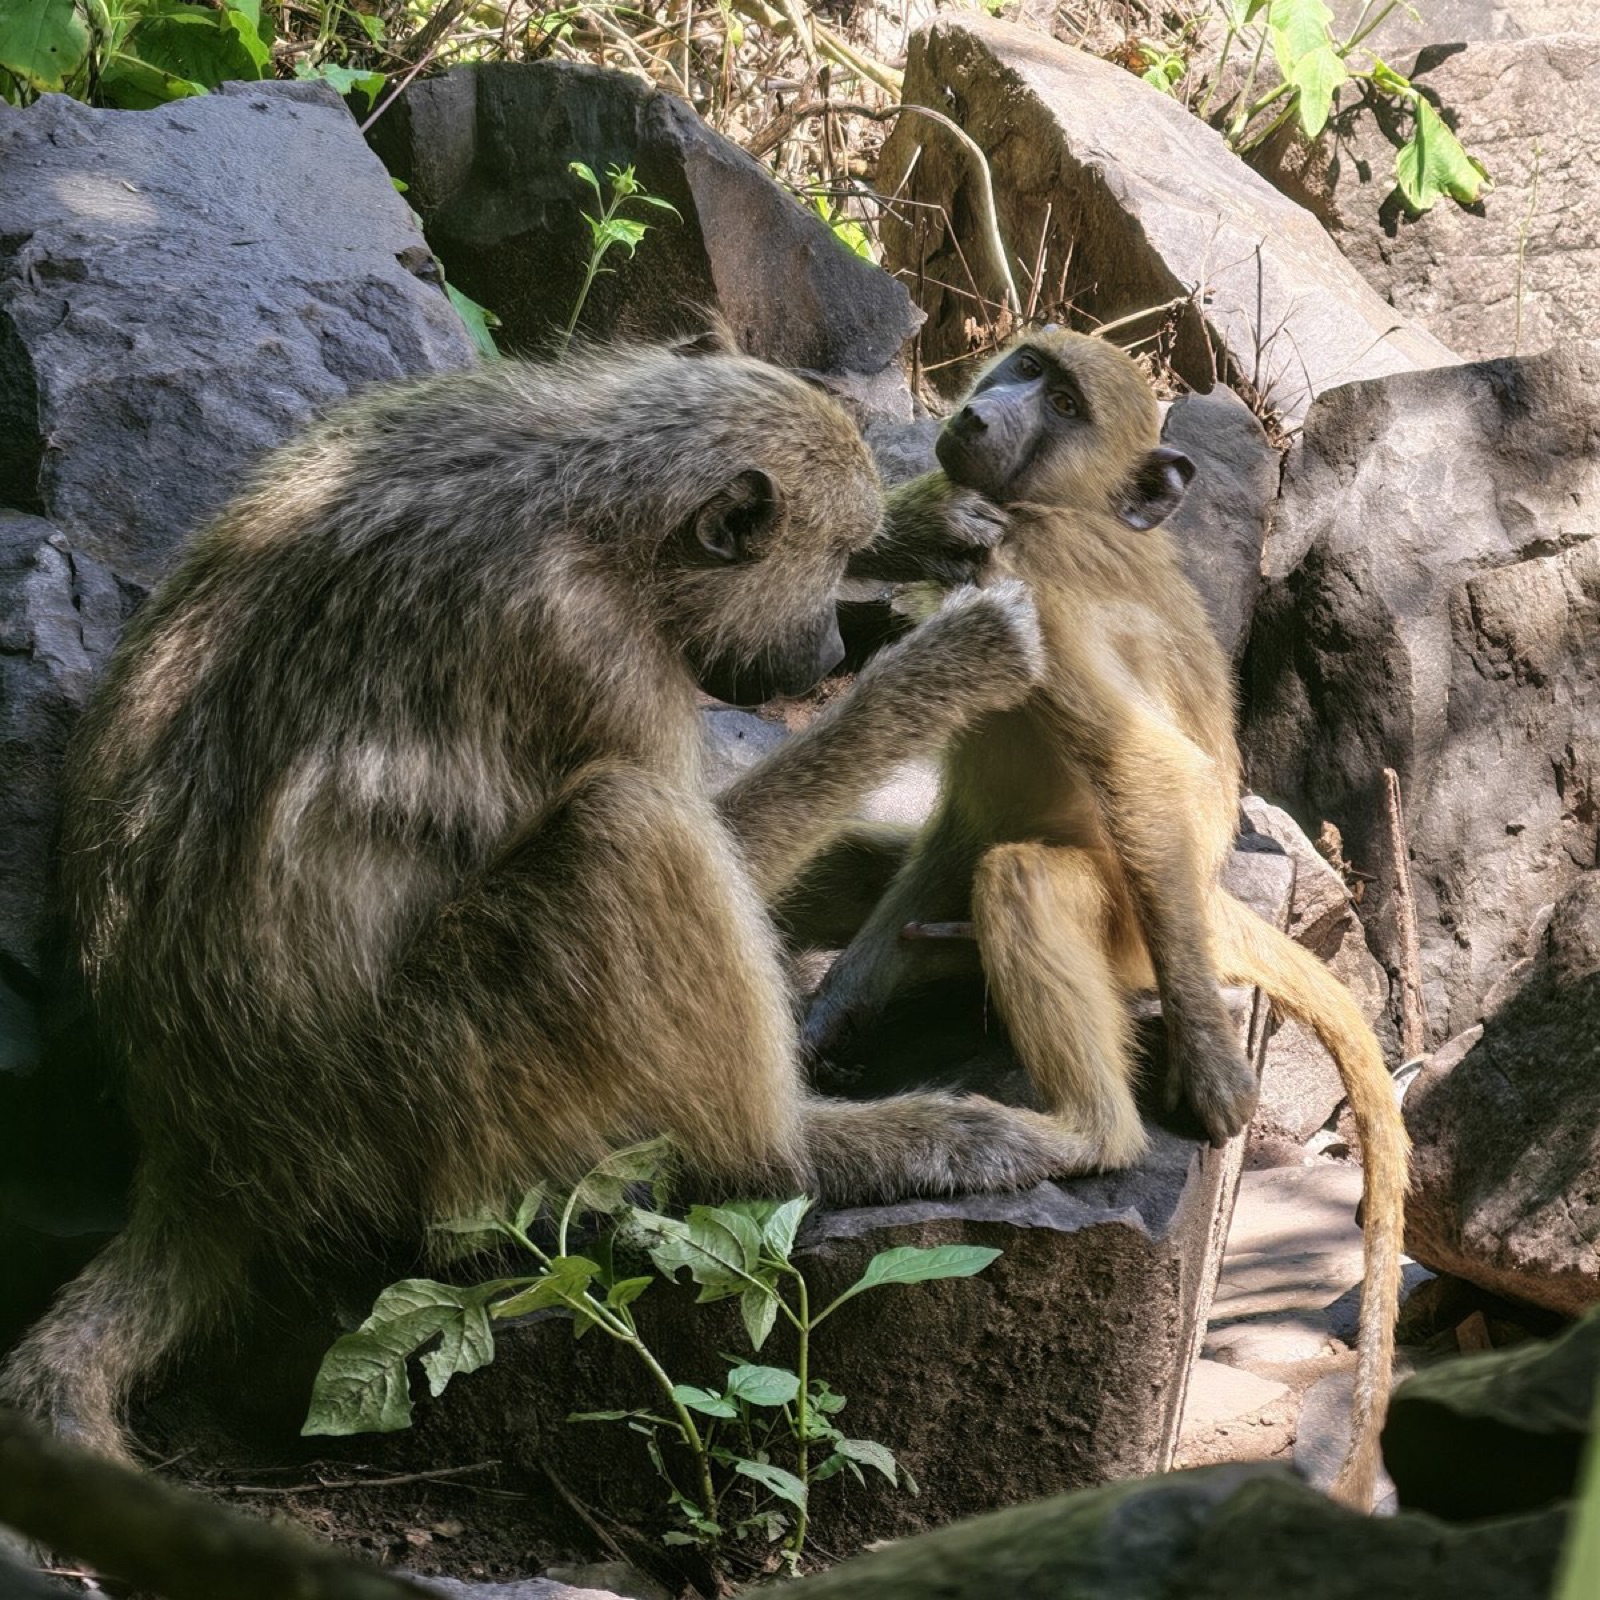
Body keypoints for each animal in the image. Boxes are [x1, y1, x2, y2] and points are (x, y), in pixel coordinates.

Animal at [0, 333, 1112, 1469]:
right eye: (818, 565)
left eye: (846, 552)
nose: (830, 653)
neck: (585, 497)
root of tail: (200, 1153)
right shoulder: (591, 654)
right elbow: (714, 832)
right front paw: (942, 669)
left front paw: (931, 518)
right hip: (425, 1107)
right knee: (632, 828)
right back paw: (810, 1150)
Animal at [803, 329, 1410, 1510]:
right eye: (1022, 365)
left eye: (1065, 402)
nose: (978, 413)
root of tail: (1211, 902)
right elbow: (949, 829)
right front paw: (823, 1021)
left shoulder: (1039, 569)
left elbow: (1144, 770)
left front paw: (1210, 1067)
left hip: (1135, 918)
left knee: (1025, 881)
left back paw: (1077, 1134)